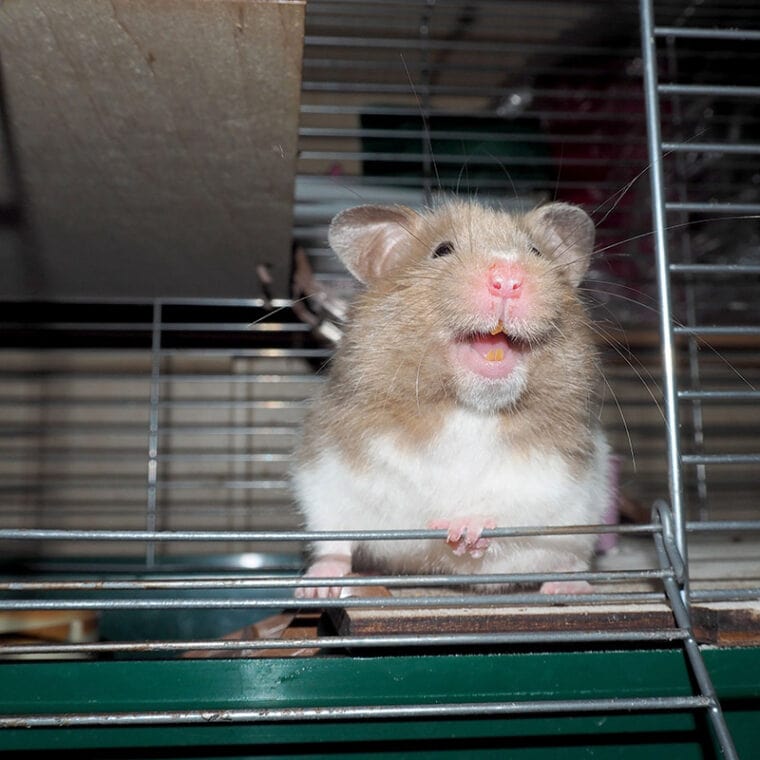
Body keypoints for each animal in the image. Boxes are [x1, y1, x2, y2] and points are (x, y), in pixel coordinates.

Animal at [292, 199, 610, 598]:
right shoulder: (328, 468)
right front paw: (315, 588)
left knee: (570, 559)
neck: (468, 407)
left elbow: (509, 503)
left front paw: (461, 530)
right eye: (442, 250)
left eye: (536, 251)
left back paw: (568, 588)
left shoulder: (558, 472)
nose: (508, 279)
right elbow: (334, 535)